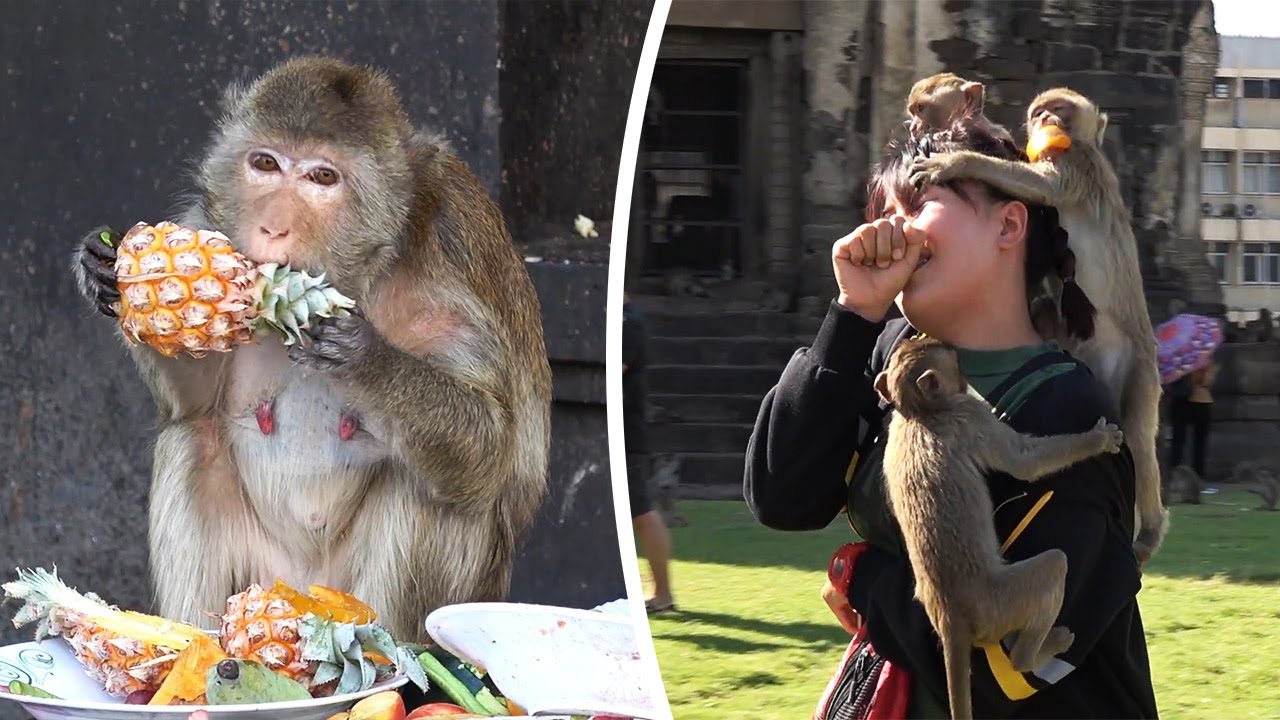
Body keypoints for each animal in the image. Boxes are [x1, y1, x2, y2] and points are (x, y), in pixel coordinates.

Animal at [71, 56, 552, 642]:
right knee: (193, 439)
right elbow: (195, 405)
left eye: (323, 177)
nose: (272, 225)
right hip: (263, 578)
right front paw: (104, 269)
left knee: (430, 487)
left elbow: (492, 449)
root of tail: (301, 596)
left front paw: (365, 357)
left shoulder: (452, 264)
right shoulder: (207, 223)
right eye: (265, 163)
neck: (362, 272)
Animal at [874, 336, 1124, 720]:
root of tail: (951, 616)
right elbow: (1025, 461)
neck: (918, 413)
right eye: (955, 362)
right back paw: (1032, 654)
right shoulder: (972, 418)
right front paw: (1097, 440)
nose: (965, 375)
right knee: (1054, 566)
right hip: (1003, 601)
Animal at [907, 87, 1168, 565]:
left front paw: (953, 163)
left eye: (1058, 111)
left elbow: (1045, 187)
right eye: (1040, 112)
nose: (1047, 120)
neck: (1082, 144)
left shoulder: (1076, 164)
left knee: (1139, 438)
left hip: (1141, 372)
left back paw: (1151, 531)